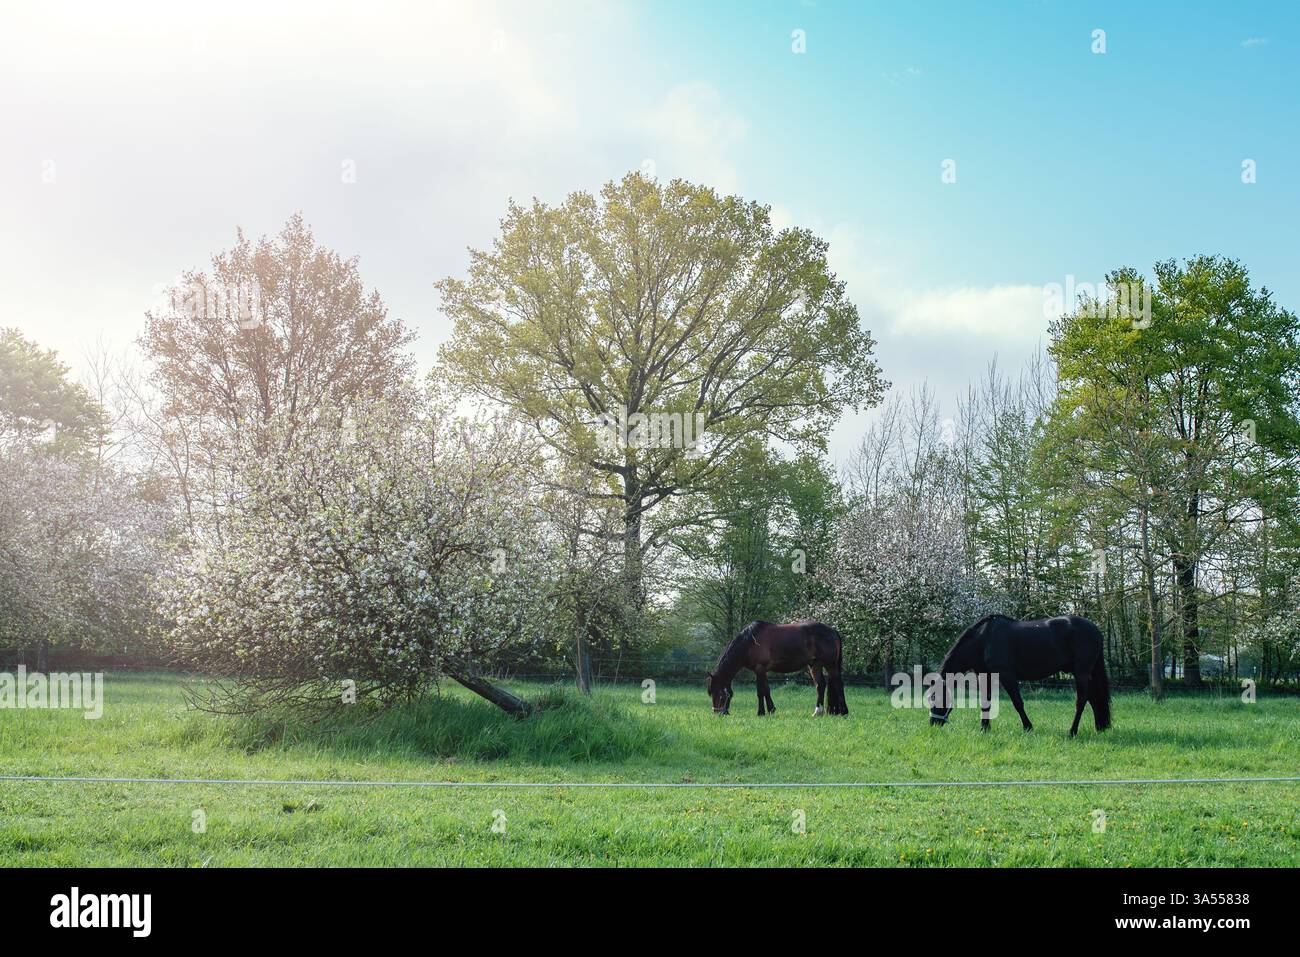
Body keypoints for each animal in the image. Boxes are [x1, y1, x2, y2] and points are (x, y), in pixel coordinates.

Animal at [706, 620, 847, 717]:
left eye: (719, 694)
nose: (718, 713)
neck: (750, 642)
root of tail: (833, 631)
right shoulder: (762, 671)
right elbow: (766, 690)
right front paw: (771, 710)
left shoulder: (759, 669)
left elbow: (760, 692)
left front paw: (761, 712)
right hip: (815, 665)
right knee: (820, 685)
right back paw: (817, 712)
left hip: (830, 665)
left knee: (838, 684)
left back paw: (844, 712)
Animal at [928, 614, 1111, 736]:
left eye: (937, 698)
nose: (933, 724)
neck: (983, 640)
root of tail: (1095, 629)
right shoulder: (985, 676)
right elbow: (985, 703)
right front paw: (984, 728)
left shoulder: (1007, 675)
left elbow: (1018, 703)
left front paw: (1028, 727)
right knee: (1093, 698)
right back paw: (1099, 727)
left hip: (1081, 672)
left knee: (1081, 701)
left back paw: (1072, 731)